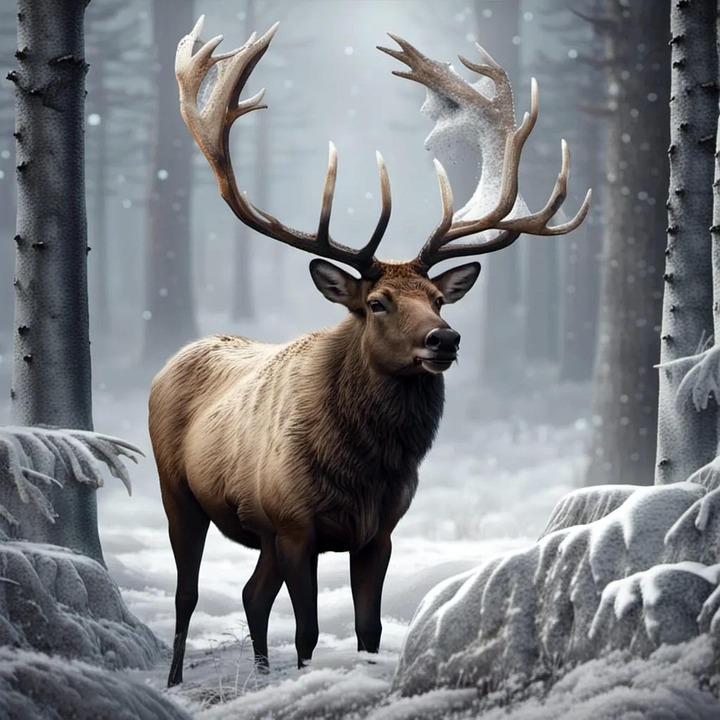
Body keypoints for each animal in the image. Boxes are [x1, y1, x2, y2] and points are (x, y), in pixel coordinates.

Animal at [149, 16, 591, 687]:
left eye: (439, 299)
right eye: (378, 302)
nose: (444, 339)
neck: (366, 469)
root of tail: (172, 361)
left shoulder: (379, 532)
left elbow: (370, 629)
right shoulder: (295, 524)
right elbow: (306, 631)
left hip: (259, 532)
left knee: (251, 593)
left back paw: (259, 673)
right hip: (179, 492)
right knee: (188, 593)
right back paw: (175, 681)